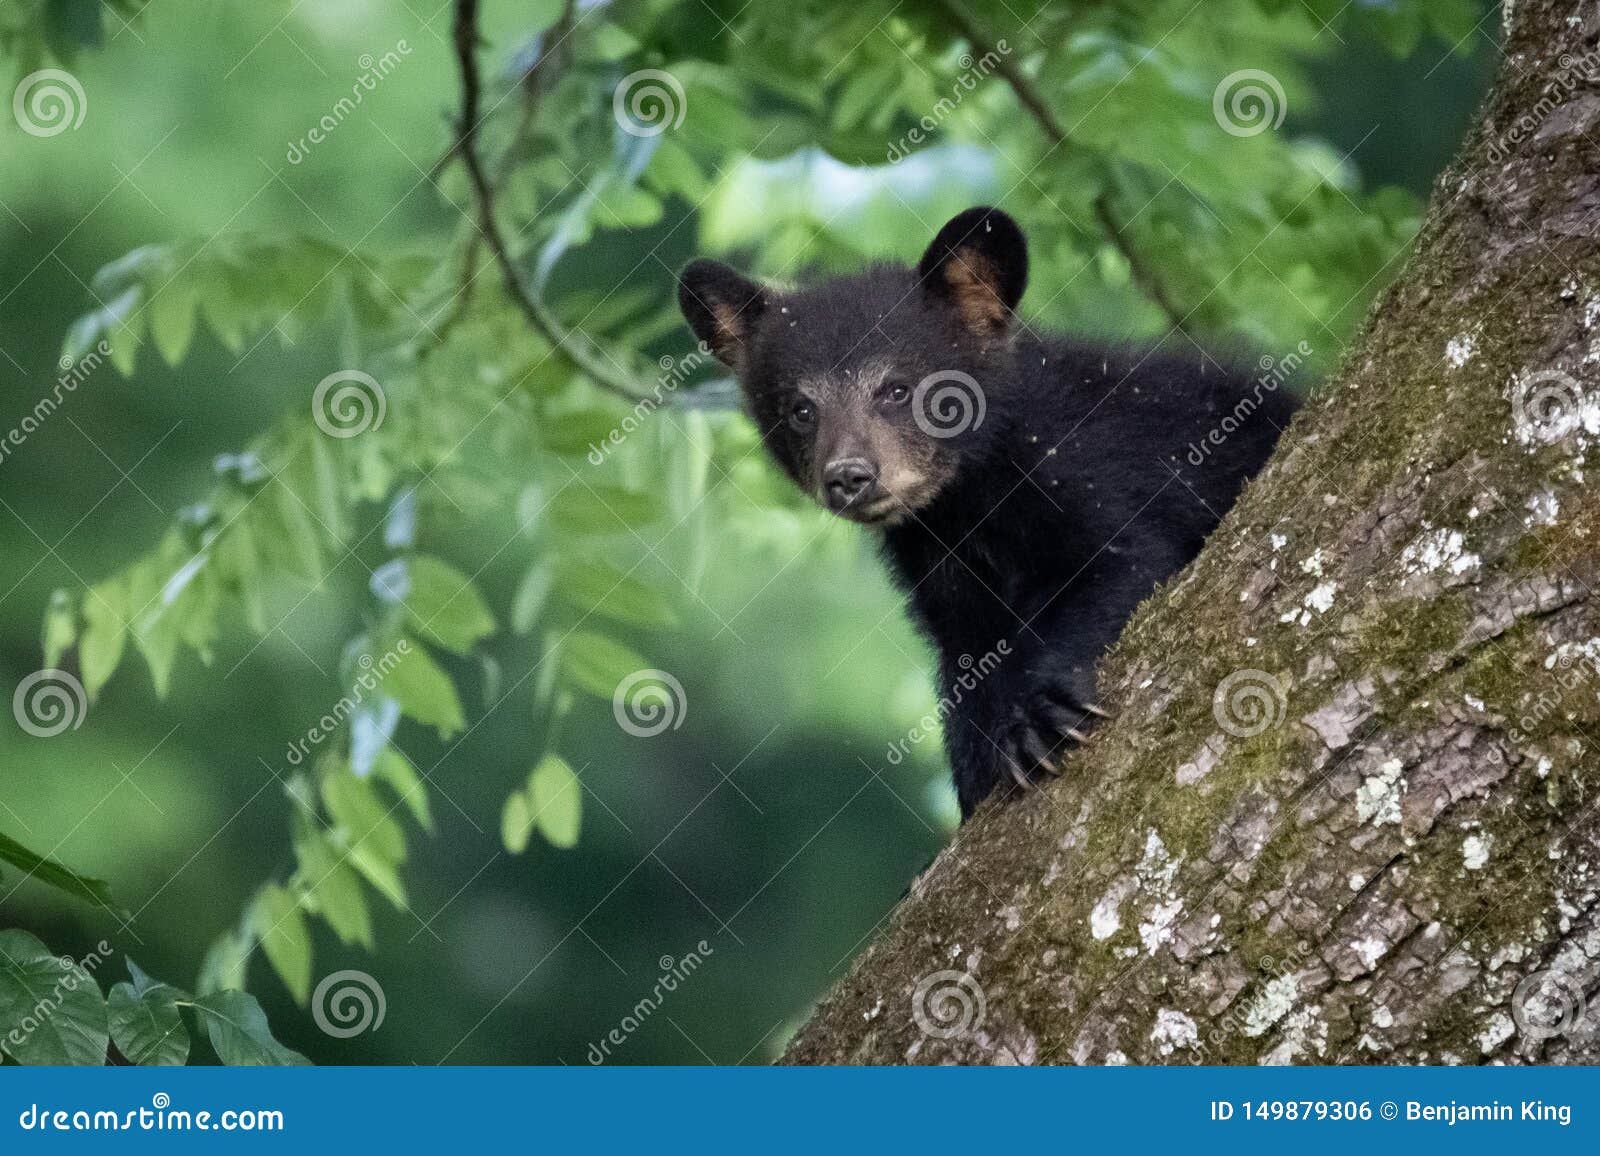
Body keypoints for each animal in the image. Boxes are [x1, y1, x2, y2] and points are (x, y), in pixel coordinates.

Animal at [679, 206, 1298, 817]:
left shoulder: (1096, 466)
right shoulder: (939, 568)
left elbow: (1123, 561)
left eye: (897, 389)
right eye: (801, 410)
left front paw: (1041, 716)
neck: (965, 501)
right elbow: (967, 659)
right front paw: (975, 767)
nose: (849, 477)